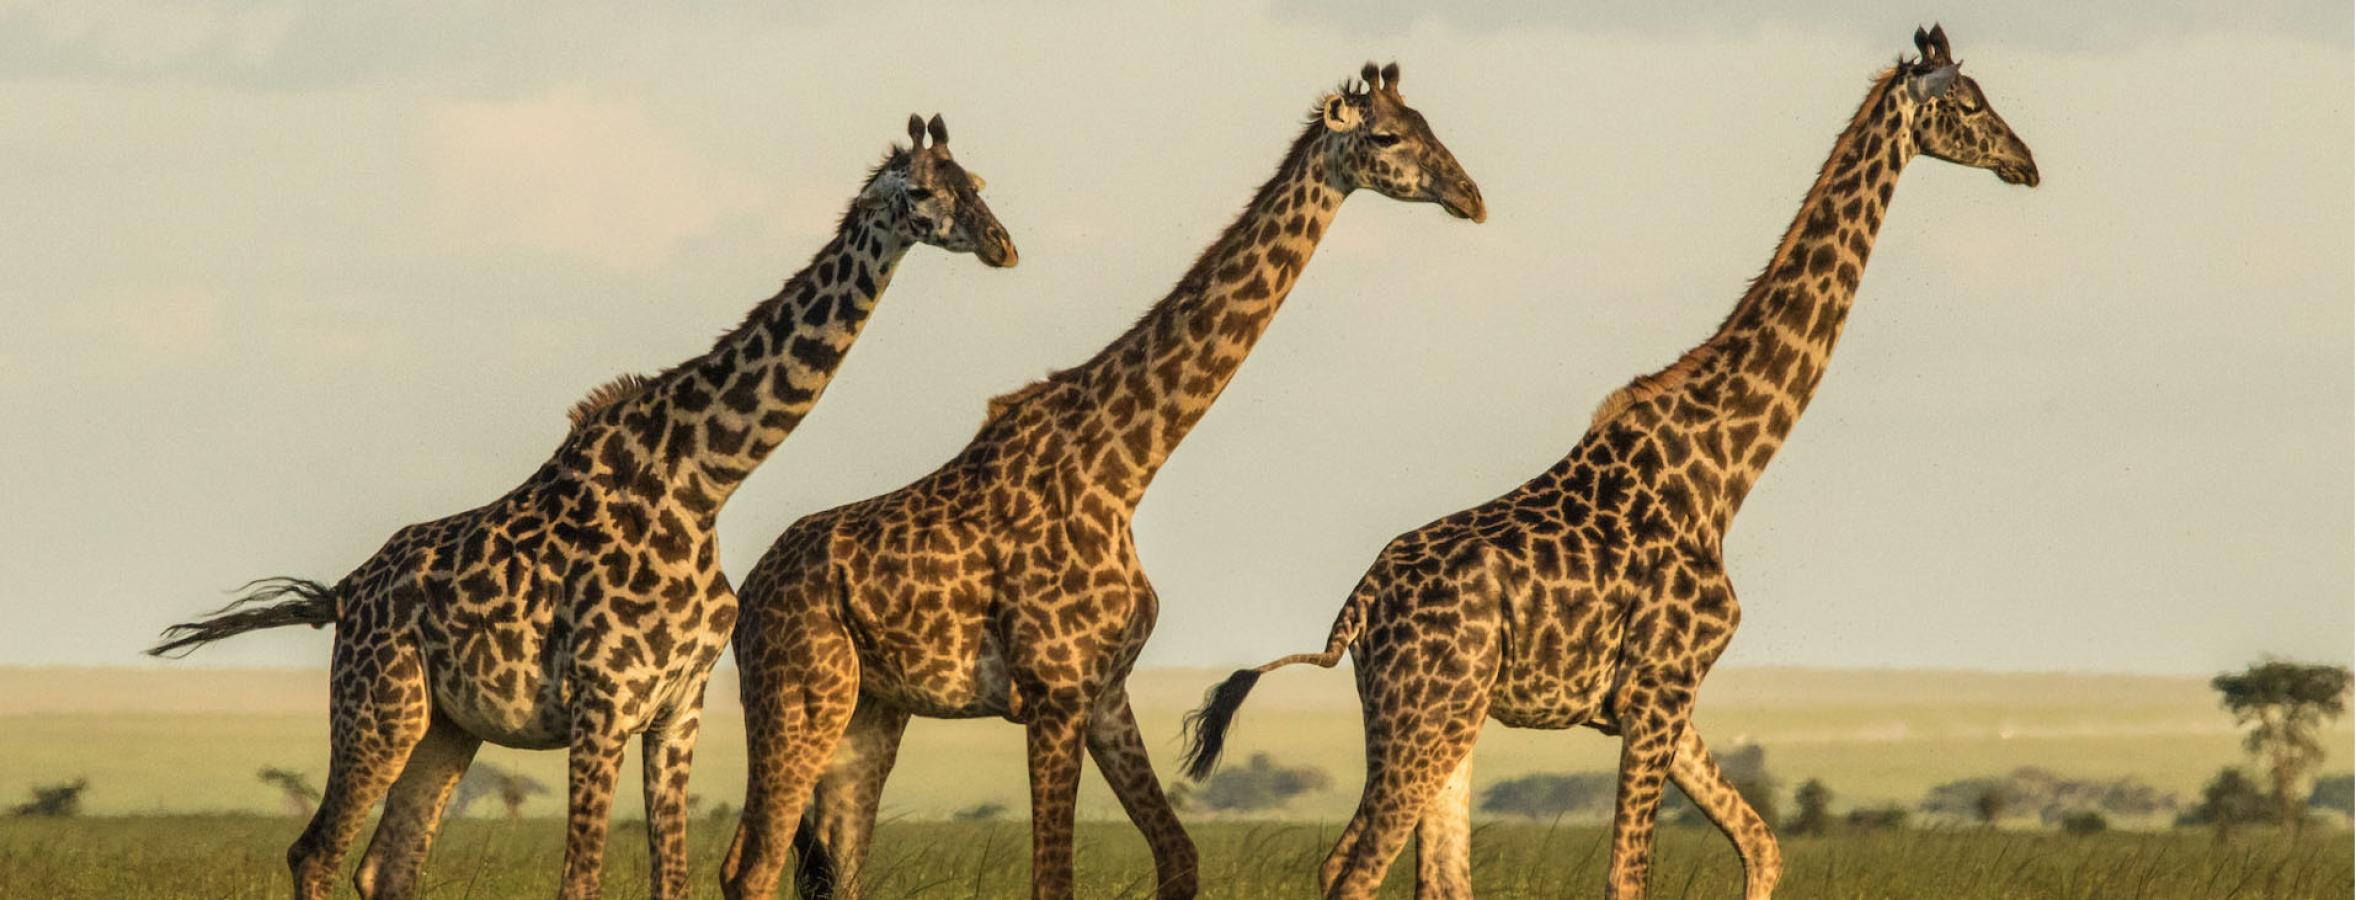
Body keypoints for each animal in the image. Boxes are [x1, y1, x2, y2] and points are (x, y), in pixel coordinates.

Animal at [145, 114, 1017, 900]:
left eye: (976, 183)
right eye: (922, 190)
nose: (1003, 244)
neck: (703, 481)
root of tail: (344, 593)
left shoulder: (678, 708)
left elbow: (672, 881)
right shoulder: (602, 701)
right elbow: (582, 881)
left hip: (445, 727)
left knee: (385, 868)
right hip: (378, 708)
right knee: (315, 854)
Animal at [719, 63, 1485, 900]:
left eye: (1430, 124)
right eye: (1386, 136)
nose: (1471, 196)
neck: (1123, 469)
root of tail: (748, 595)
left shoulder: (1107, 691)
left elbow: (1179, 856)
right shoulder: (1053, 694)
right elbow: (1052, 879)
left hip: (870, 710)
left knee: (828, 861)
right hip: (799, 694)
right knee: (751, 864)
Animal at [1182, 27, 2039, 900]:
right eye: (1970, 105)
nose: (2027, 162)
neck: (1724, 470)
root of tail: (1356, 609)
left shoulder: (1659, 697)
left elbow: (1762, 846)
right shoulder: (1660, 686)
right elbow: (1629, 875)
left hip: (1441, 716)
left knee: (1415, 870)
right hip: (1429, 711)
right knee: (1357, 868)